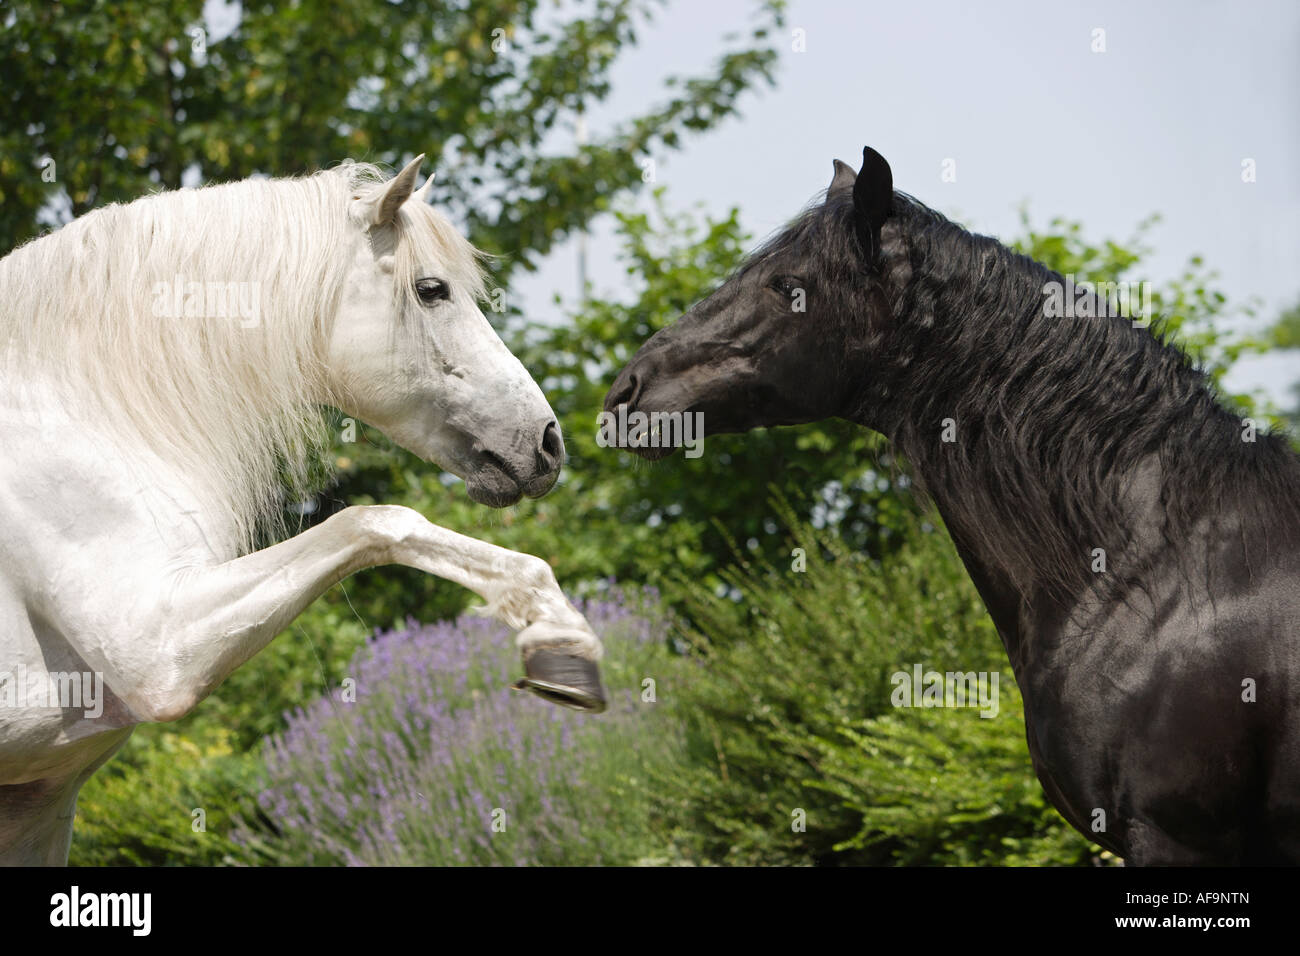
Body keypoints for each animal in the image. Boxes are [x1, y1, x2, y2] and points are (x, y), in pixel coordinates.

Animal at [0, 155, 607, 866]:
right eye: (432, 290)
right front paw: (559, 637)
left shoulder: (41, 800)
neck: (81, 416)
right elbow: (378, 521)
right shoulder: (156, 652)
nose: (547, 443)